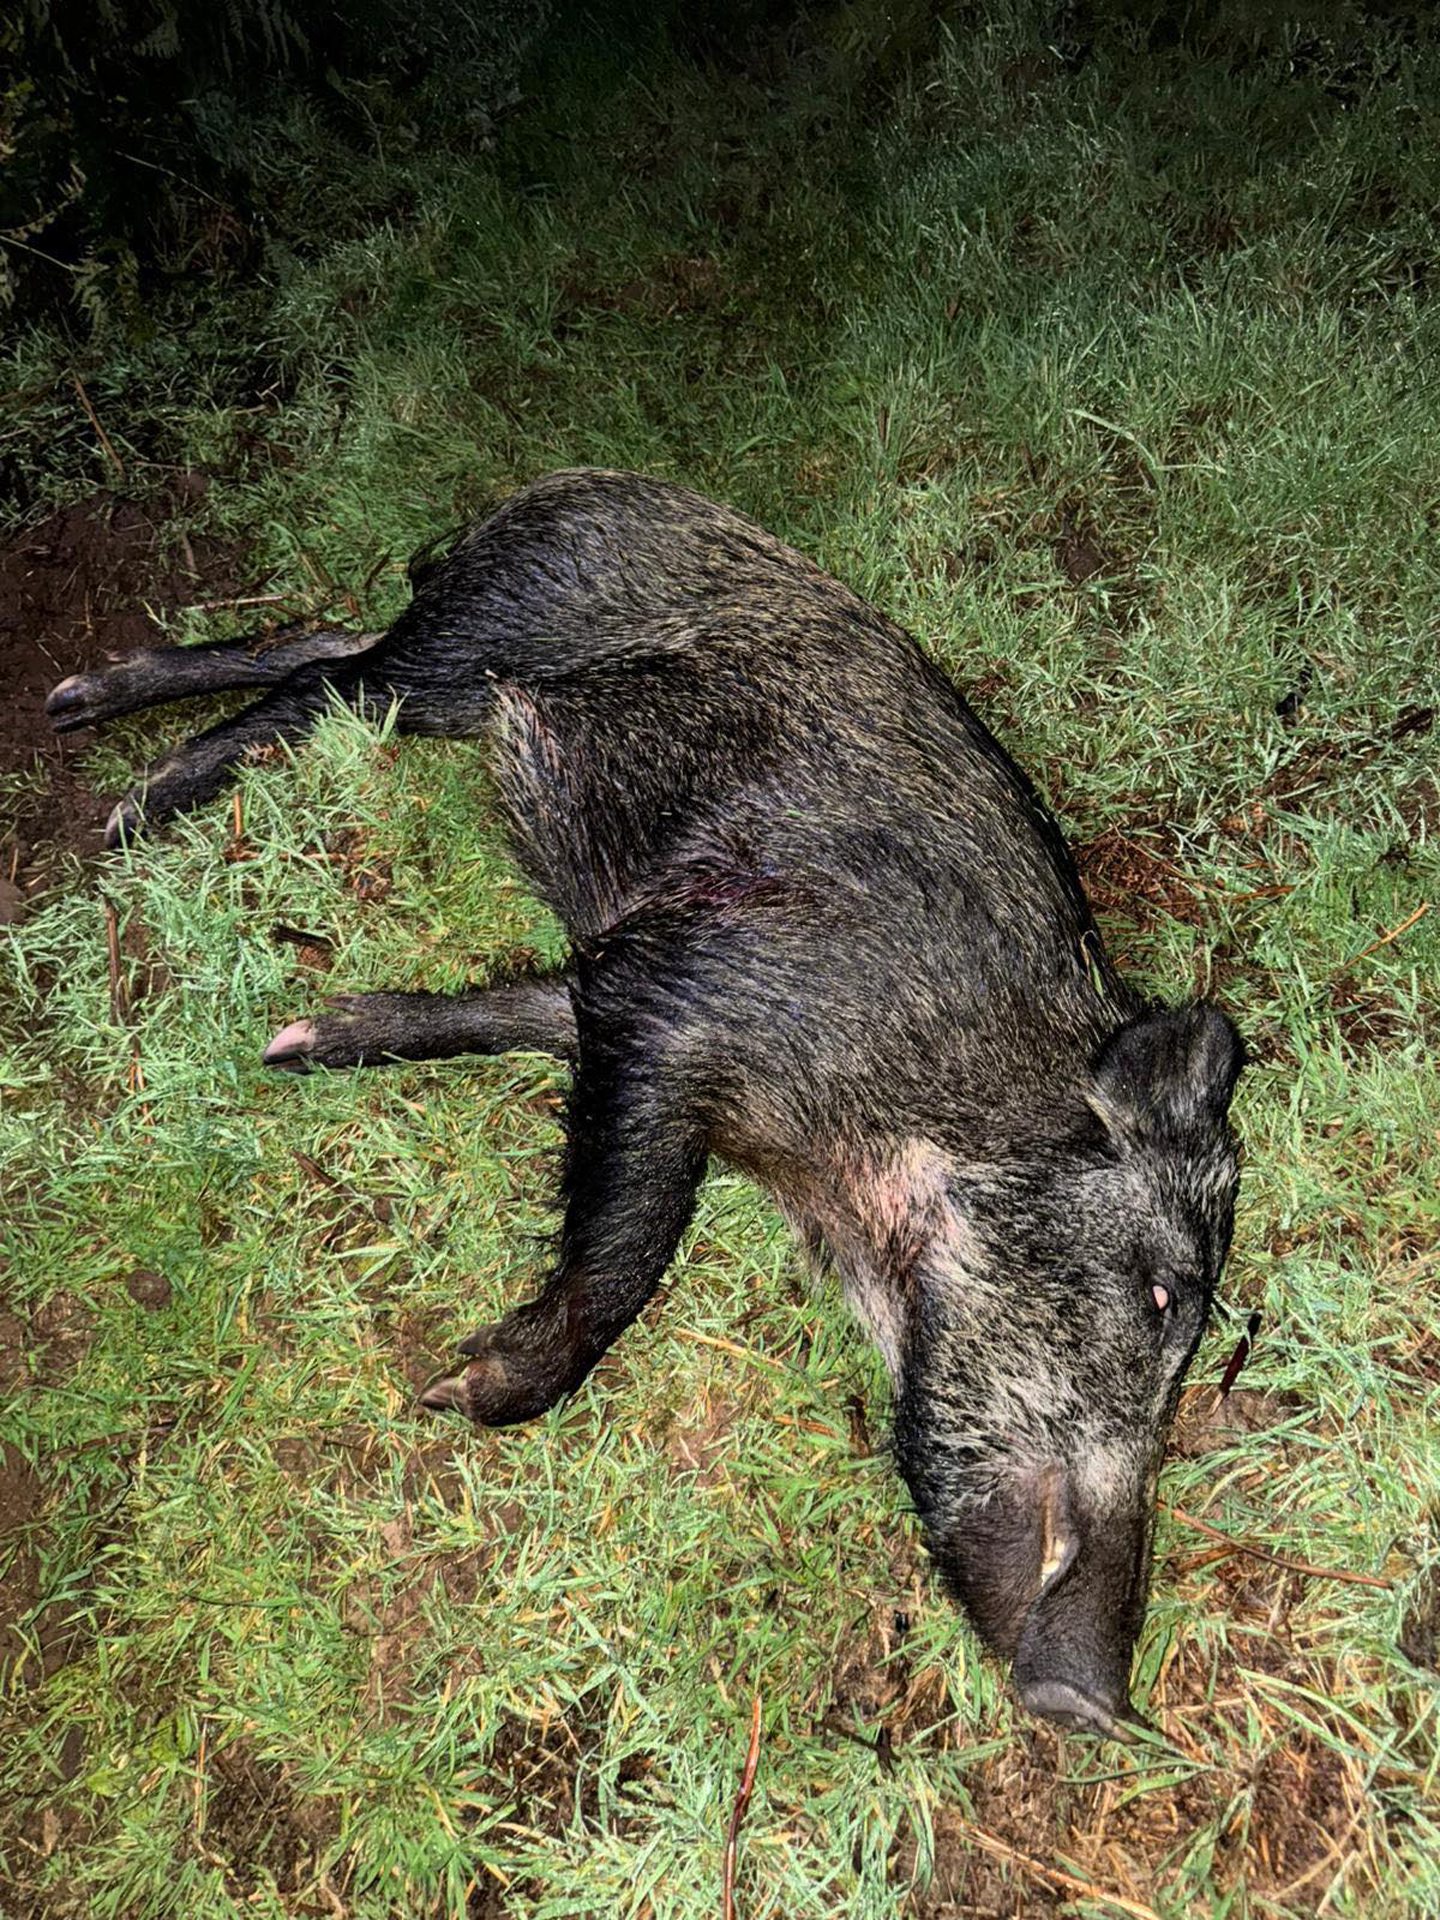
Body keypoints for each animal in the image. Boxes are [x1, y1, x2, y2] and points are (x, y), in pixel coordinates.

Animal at [47, 469, 1245, 1737]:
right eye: (1160, 1291)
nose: (1096, 1702)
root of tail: (572, 489)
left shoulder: (618, 983)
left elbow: (516, 1011)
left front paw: (299, 1042)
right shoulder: (686, 997)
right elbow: (631, 1238)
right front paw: (457, 1391)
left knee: (320, 640)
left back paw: (81, 708)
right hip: (482, 637)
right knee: (320, 682)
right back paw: (125, 811)